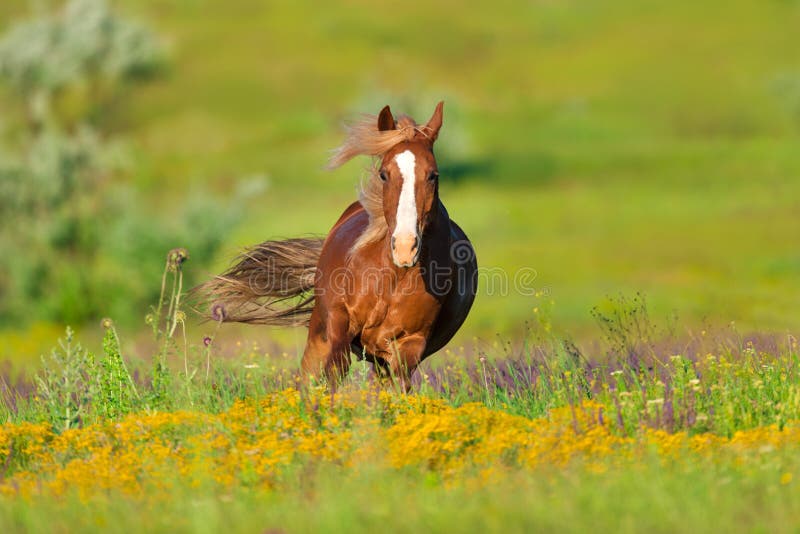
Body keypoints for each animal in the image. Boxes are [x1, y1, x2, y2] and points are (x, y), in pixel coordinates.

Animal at [196, 102, 477, 390]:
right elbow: (334, 372)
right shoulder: (337, 323)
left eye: (433, 175)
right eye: (384, 174)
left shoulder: (409, 344)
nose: (405, 247)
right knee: (309, 375)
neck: (391, 278)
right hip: (319, 334)